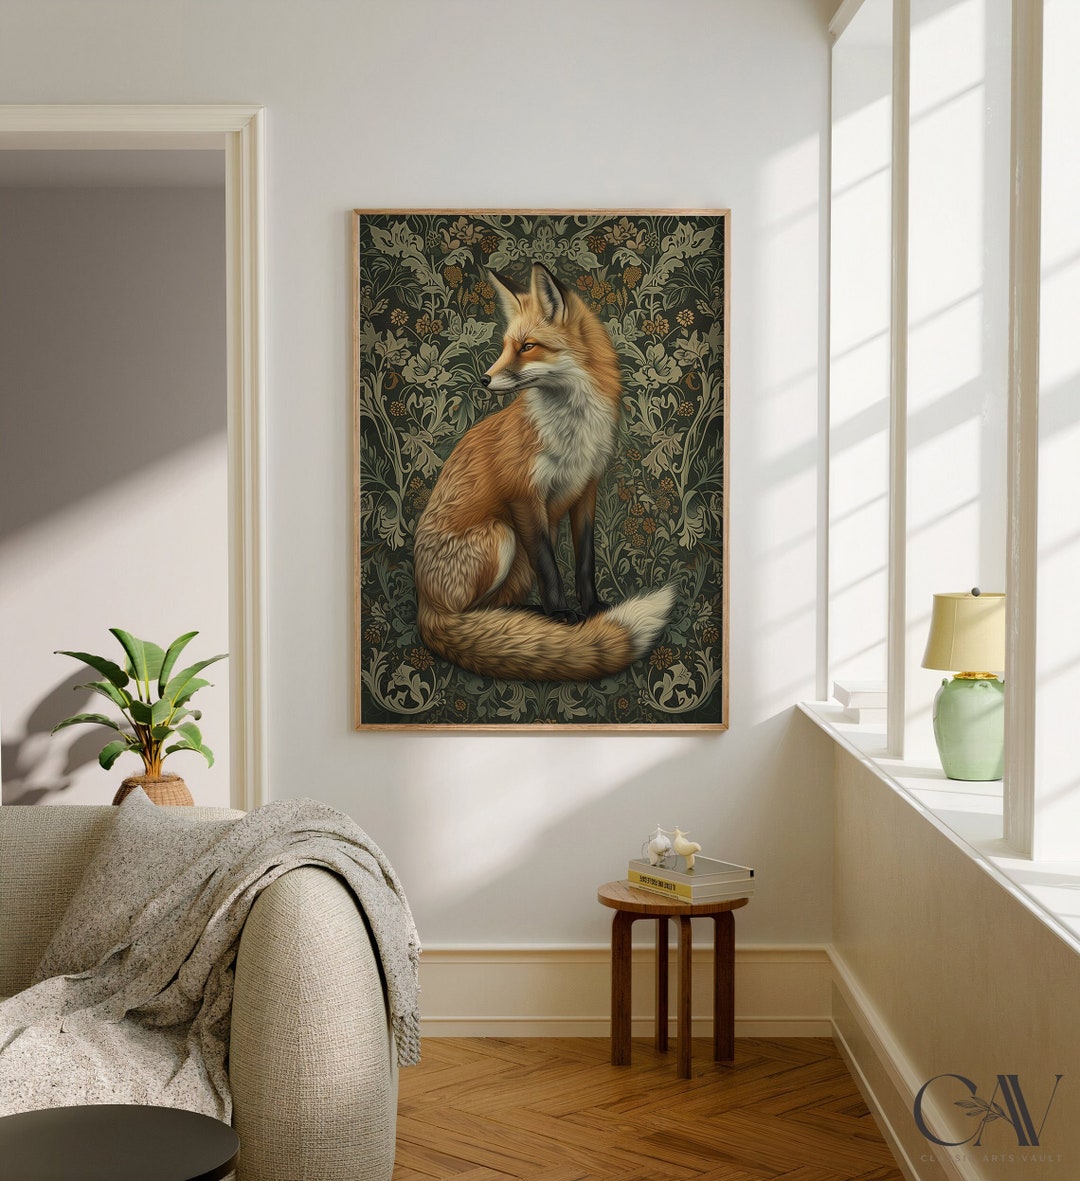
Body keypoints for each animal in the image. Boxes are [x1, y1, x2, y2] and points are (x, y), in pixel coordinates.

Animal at [413, 261, 674, 682]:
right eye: (506, 346)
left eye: (527, 346)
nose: (483, 379)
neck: (573, 432)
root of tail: (425, 608)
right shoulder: (524, 495)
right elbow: (550, 567)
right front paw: (562, 614)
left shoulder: (587, 488)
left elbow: (584, 559)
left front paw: (591, 607)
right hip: (501, 535)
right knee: (470, 616)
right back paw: (532, 622)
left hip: (517, 559)